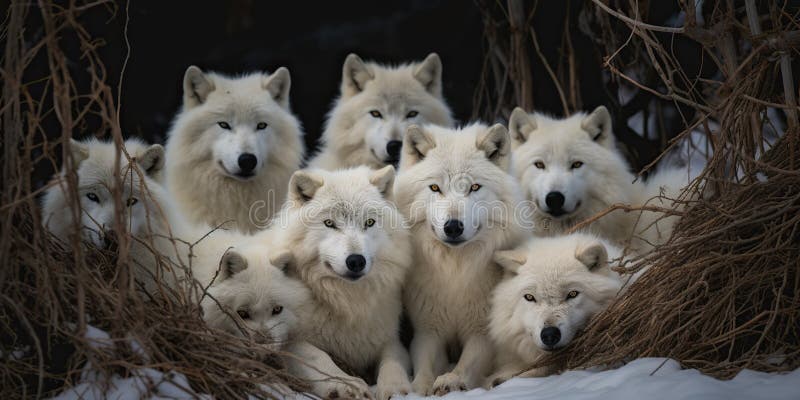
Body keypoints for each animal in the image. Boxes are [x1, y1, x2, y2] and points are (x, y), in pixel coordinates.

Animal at [270, 166, 412, 400]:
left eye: (369, 223)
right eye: (330, 223)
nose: (356, 261)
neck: (347, 302)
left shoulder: (388, 338)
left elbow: (392, 360)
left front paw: (396, 388)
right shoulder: (288, 341)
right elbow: (318, 356)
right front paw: (345, 384)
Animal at [393, 123, 530, 395]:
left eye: (474, 187)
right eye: (435, 188)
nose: (453, 226)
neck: (455, 273)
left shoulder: (483, 332)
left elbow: (467, 362)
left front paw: (452, 380)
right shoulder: (428, 329)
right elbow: (424, 362)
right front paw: (420, 386)